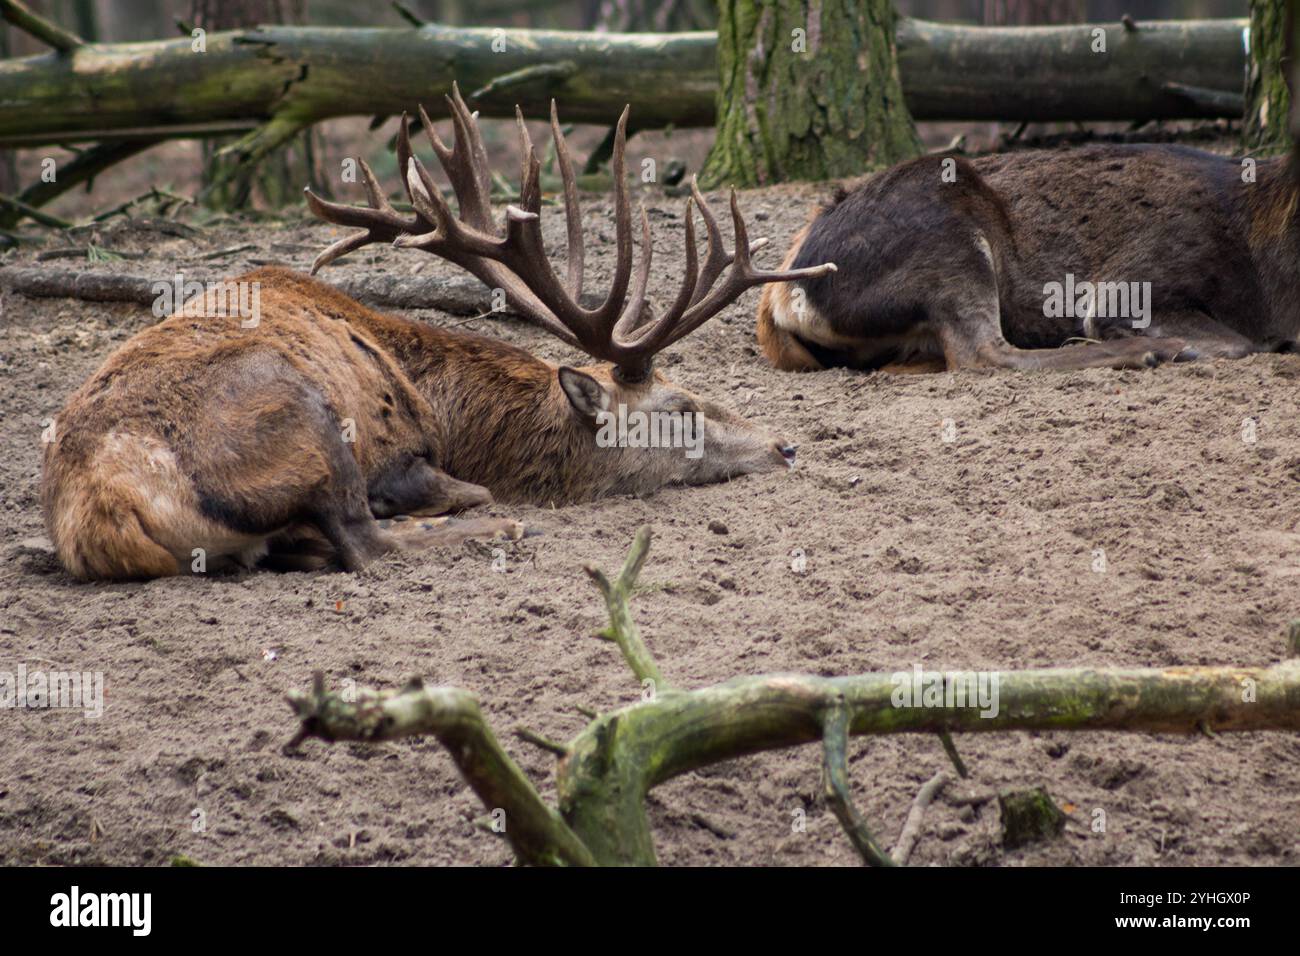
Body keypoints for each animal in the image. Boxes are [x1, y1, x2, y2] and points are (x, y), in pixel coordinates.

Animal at [40, 87, 833, 581]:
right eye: (681, 410)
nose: (786, 446)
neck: (453, 412)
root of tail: (103, 514)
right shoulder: (396, 453)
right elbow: (464, 492)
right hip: (300, 415)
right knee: (365, 542)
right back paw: (494, 530)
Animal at [757, 144, 1300, 374]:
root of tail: (779, 298)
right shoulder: (1133, 281)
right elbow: (1241, 344)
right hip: (948, 236)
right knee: (984, 353)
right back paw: (1151, 351)